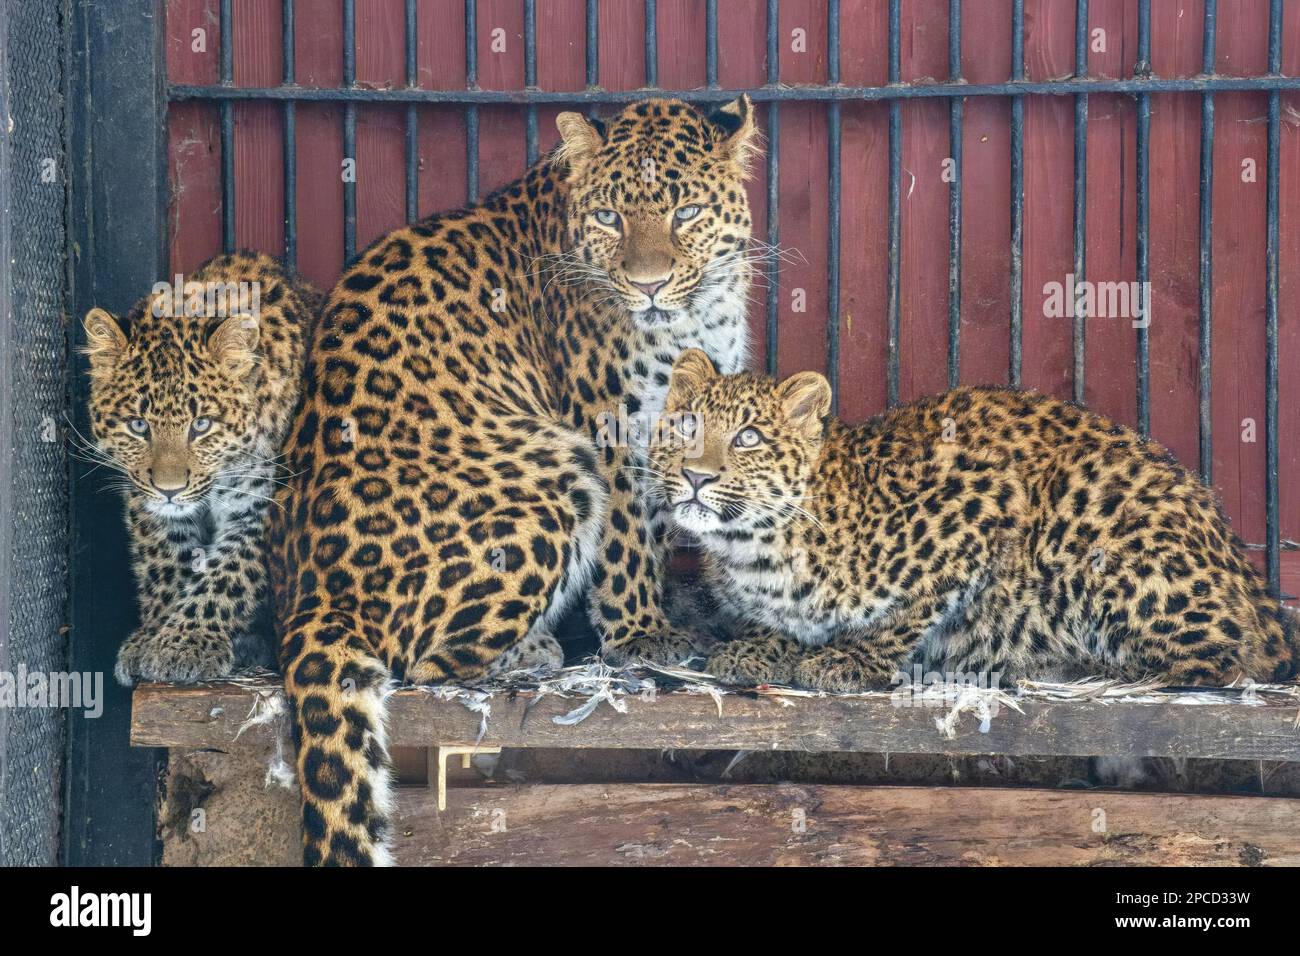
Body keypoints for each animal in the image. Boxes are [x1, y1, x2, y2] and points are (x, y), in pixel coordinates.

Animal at [81, 251, 316, 686]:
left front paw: (185, 643)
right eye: (138, 426)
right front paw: (155, 635)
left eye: (202, 425)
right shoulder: (144, 501)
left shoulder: (260, 507)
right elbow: (164, 563)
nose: (170, 489)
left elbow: (228, 574)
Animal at [270, 97, 760, 865]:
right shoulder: (607, 427)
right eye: (611, 217)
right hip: (555, 475)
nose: (647, 285)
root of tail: (319, 592)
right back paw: (532, 649)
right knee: (423, 664)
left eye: (685, 213)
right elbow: (627, 539)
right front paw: (641, 634)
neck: (696, 312)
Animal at [649, 349, 1299, 693]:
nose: (696, 476)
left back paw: (1060, 664)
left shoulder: (982, 497)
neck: (751, 549)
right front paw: (760, 647)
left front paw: (848, 660)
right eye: (687, 426)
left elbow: (908, 612)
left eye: (748, 438)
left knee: (1217, 662)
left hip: (1093, 516)